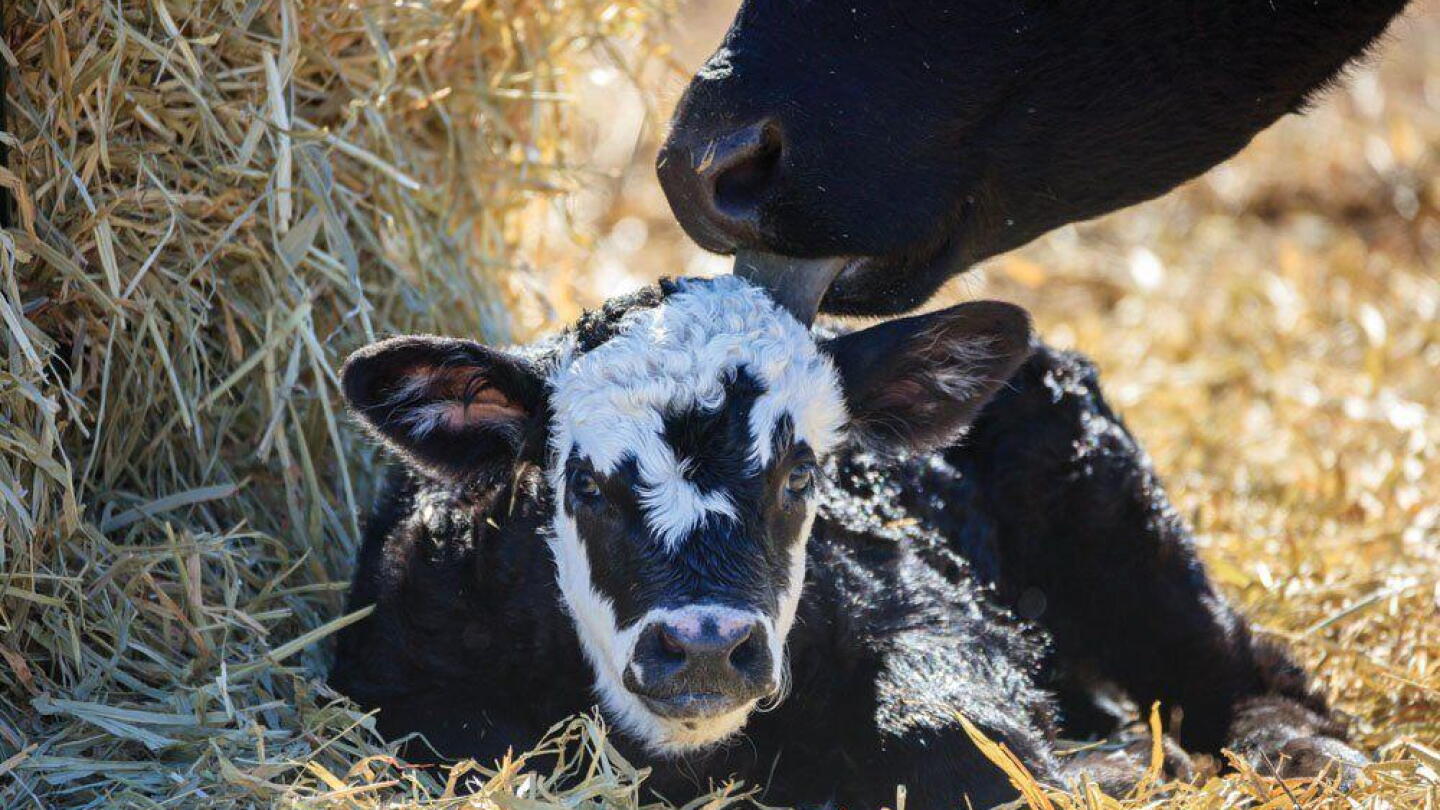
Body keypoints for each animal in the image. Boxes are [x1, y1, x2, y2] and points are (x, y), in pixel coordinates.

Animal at [330, 275, 1363, 809]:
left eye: (801, 476)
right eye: (582, 484)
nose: (705, 646)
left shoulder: (929, 606)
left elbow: (958, 738)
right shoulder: (401, 675)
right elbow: (488, 749)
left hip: (1115, 513)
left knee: (1241, 662)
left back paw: (1297, 752)